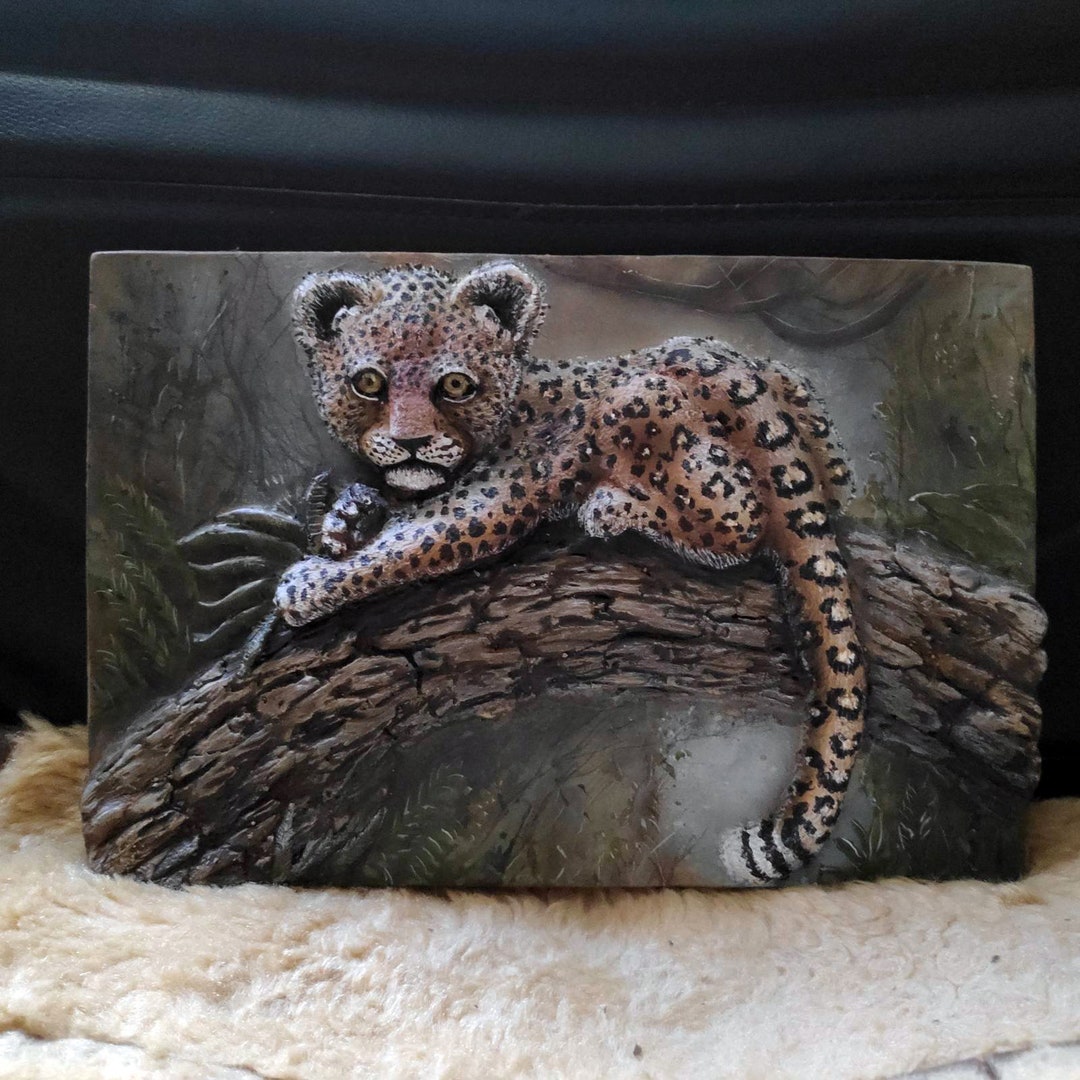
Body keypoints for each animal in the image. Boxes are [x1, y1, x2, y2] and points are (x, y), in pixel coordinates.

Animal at [275, 259, 867, 886]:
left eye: (456, 385)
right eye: (368, 382)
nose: (411, 443)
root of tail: (769, 415)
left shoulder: (489, 500)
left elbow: (408, 544)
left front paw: (306, 584)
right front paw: (346, 517)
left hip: (641, 408)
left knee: (743, 517)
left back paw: (612, 508)